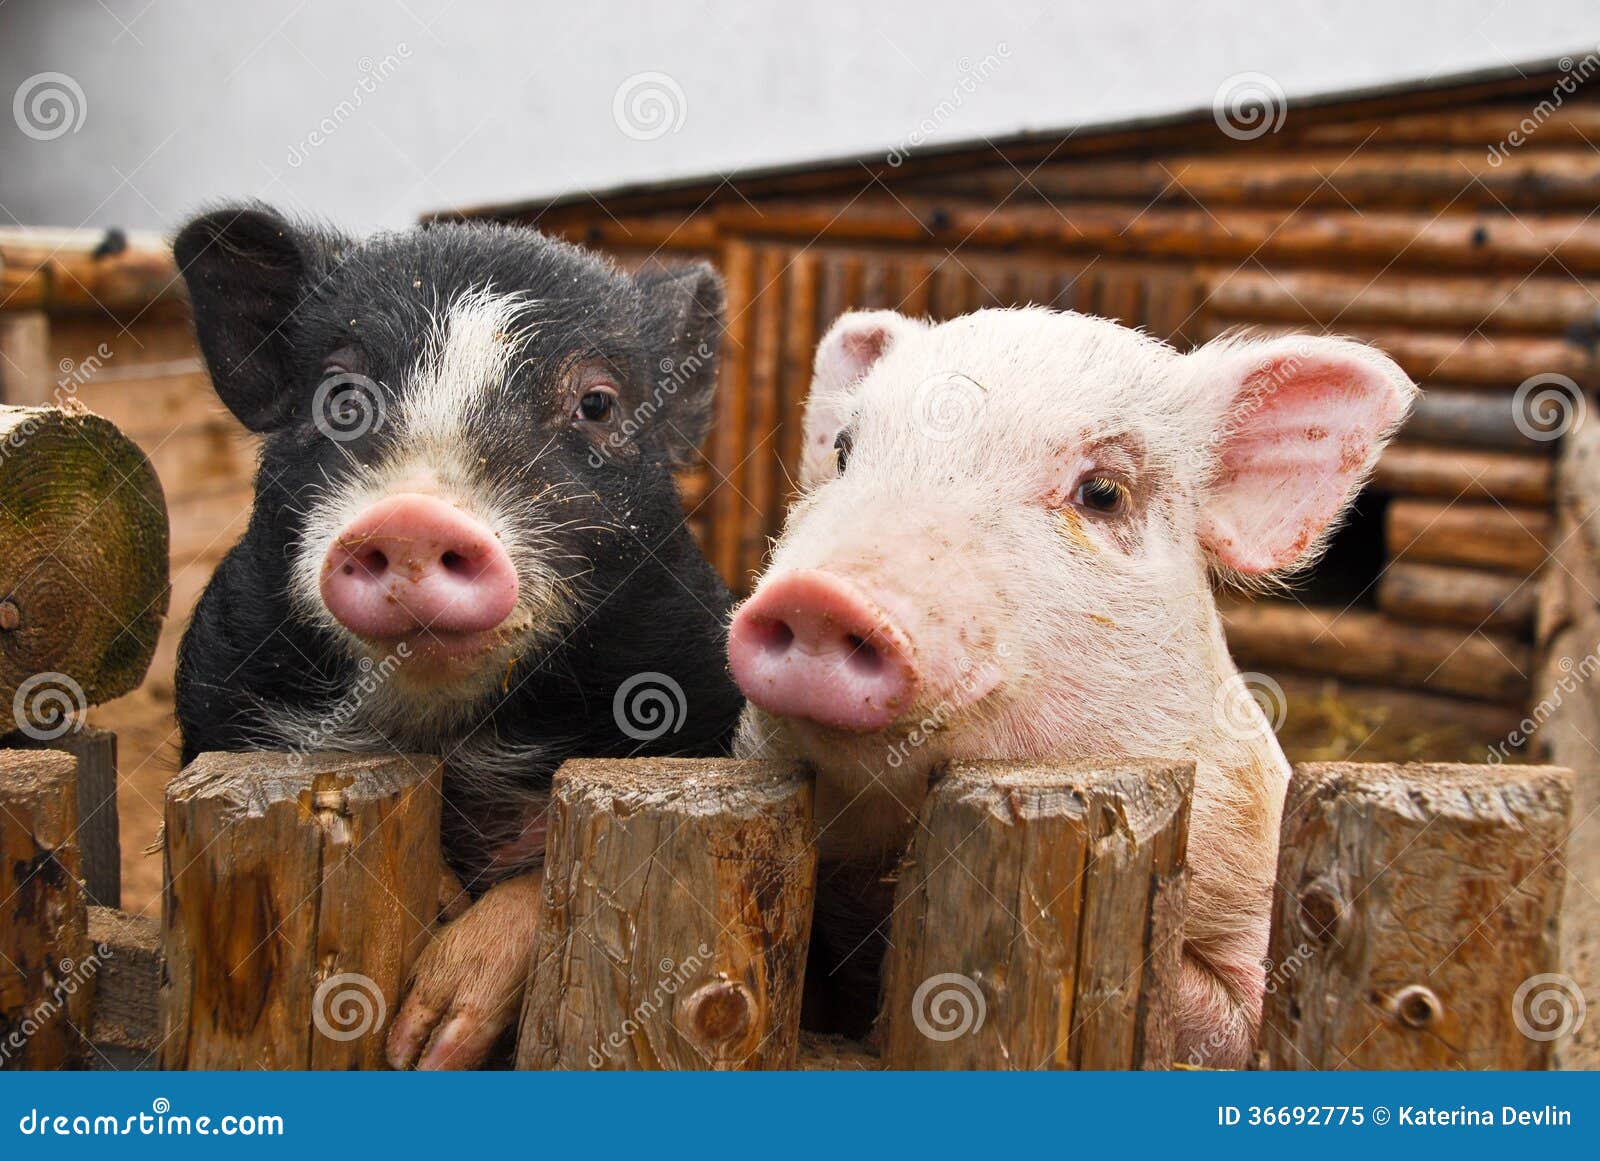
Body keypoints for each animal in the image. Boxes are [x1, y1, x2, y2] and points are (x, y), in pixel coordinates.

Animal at [172, 204, 745, 1069]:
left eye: (598, 403)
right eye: (340, 395)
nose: (414, 515)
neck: (441, 725)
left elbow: (539, 886)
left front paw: (426, 1044)